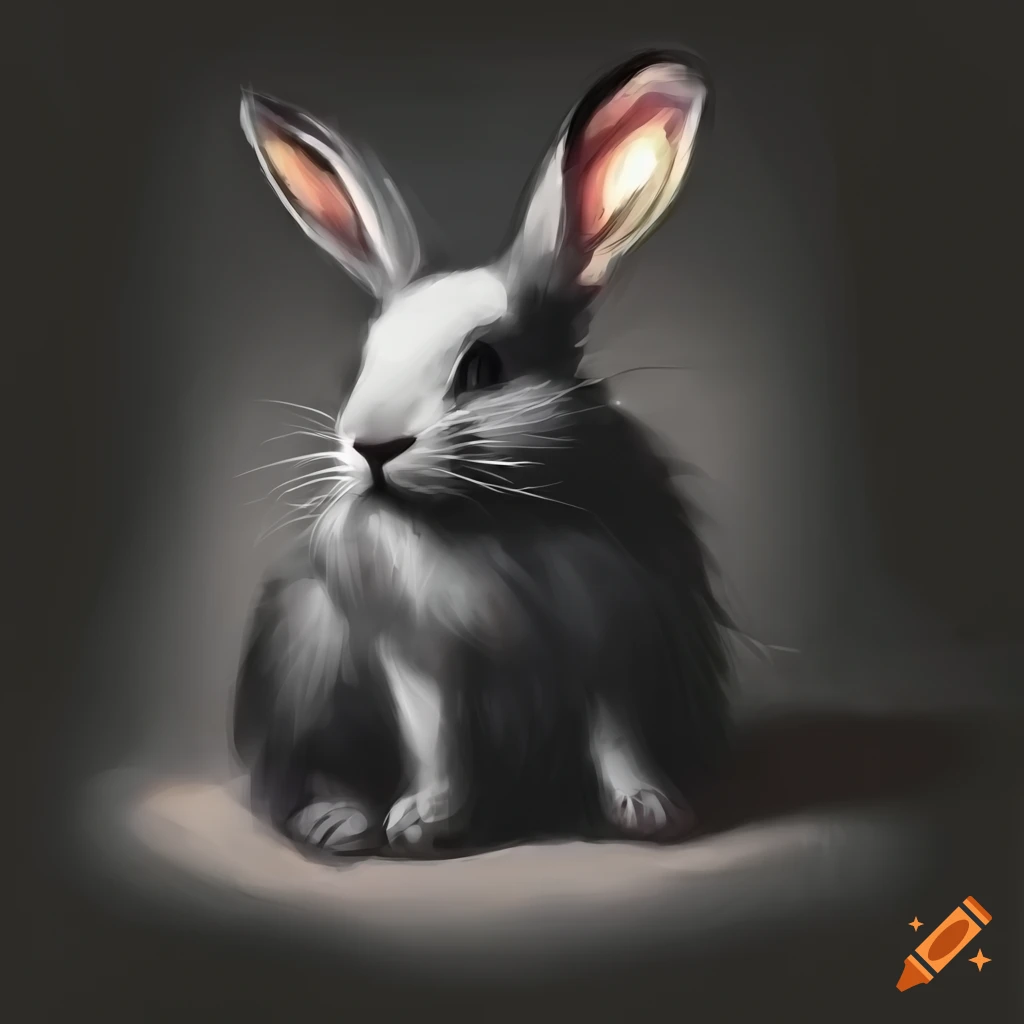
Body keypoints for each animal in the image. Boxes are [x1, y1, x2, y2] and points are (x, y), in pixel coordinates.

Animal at [233, 50, 733, 859]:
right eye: (363, 364)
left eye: (482, 368)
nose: (373, 448)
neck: (487, 516)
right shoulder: (415, 657)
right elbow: (434, 736)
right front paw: (425, 821)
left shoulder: (610, 639)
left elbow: (616, 732)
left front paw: (650, 810)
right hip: (306, 662)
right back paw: (339, 822)